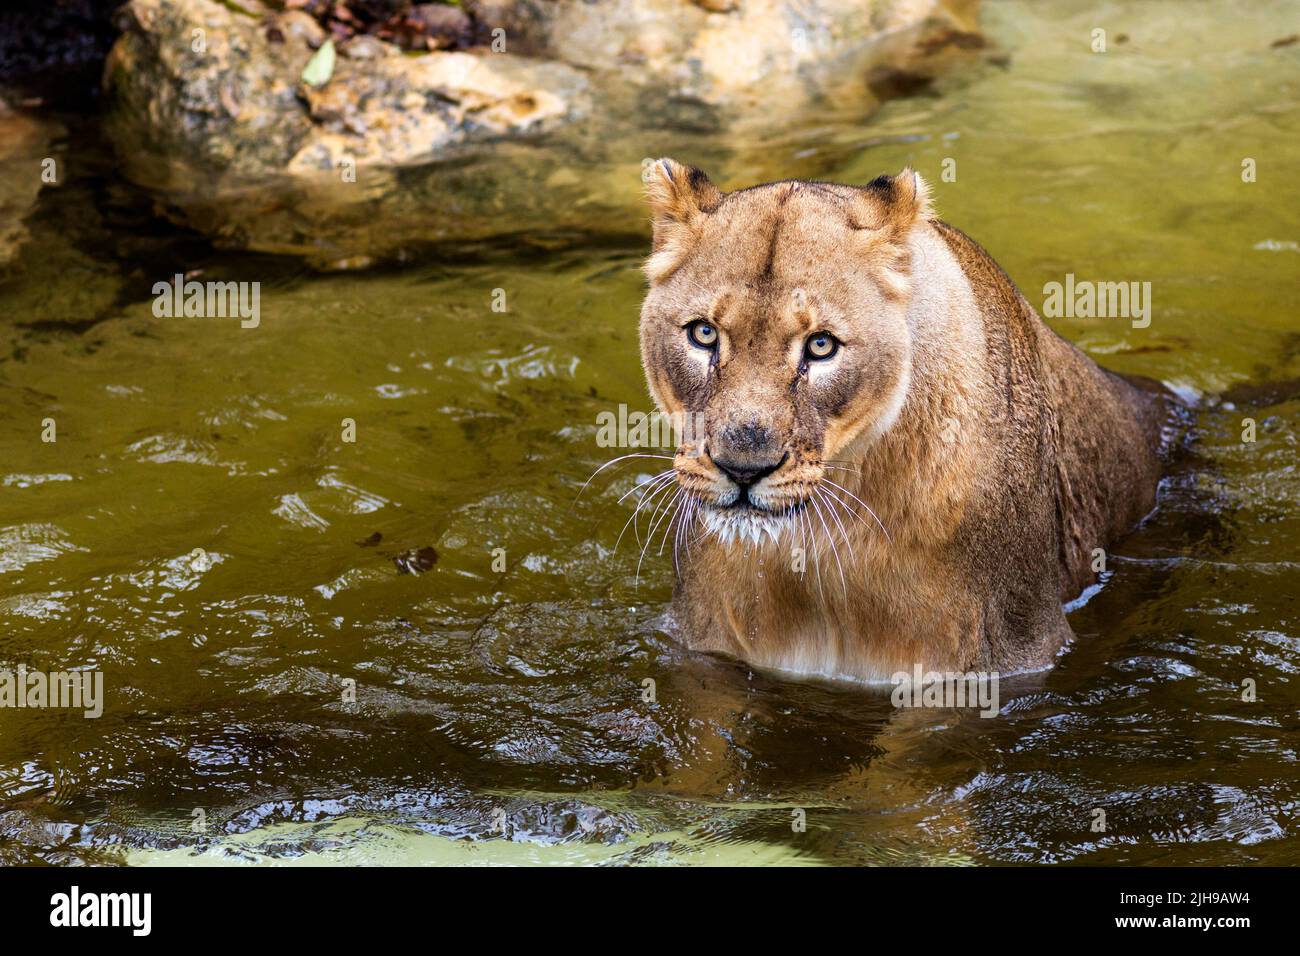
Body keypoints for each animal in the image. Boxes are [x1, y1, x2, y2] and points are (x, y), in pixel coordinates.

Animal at [636, 158, 1175, 682]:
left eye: (821, 345)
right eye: (704, 334)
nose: (742, 469)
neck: (823, 544)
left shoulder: (1006, 655)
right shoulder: (702, 643)